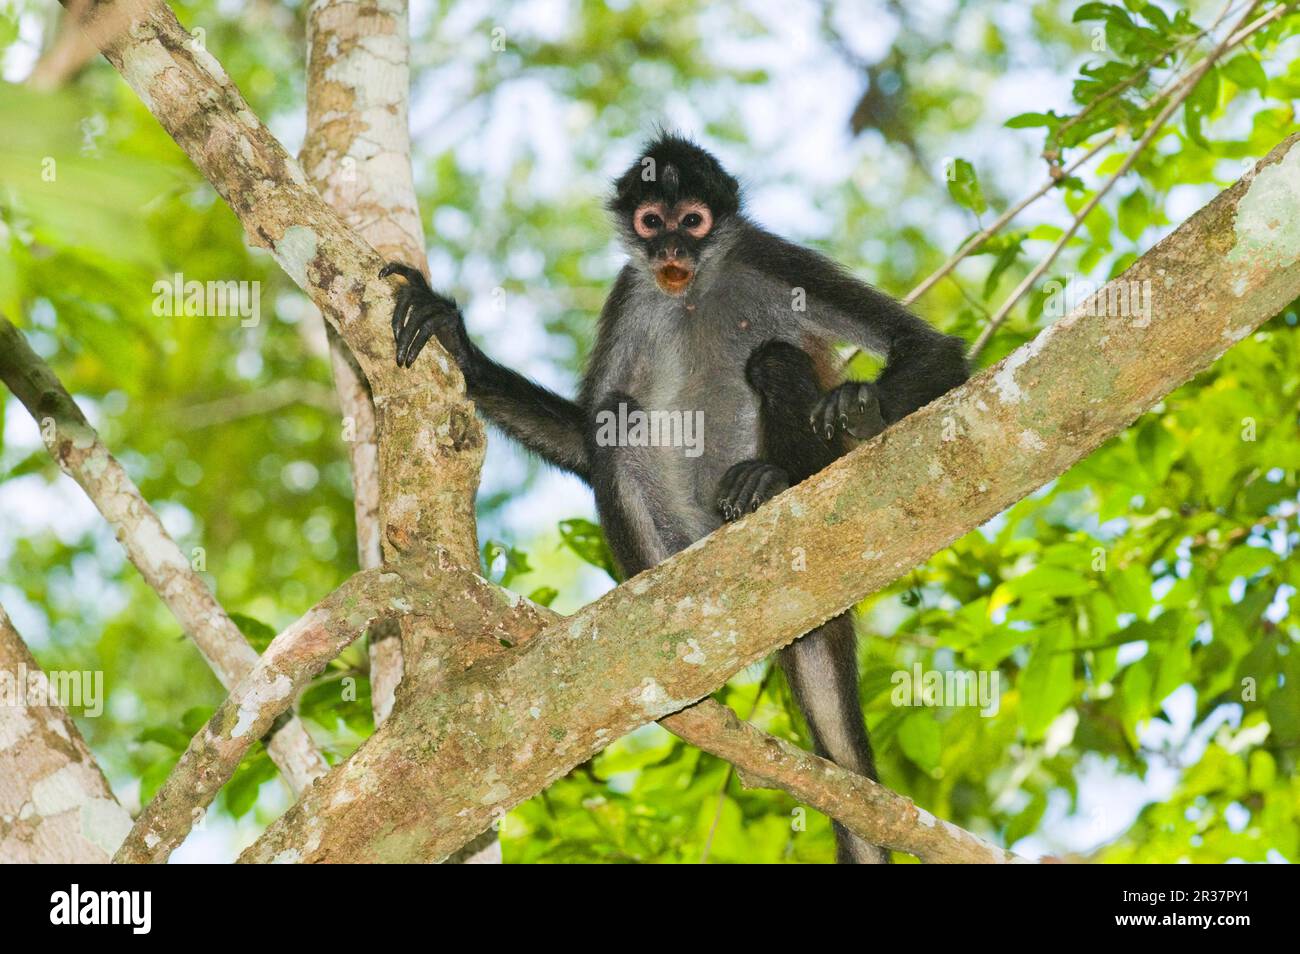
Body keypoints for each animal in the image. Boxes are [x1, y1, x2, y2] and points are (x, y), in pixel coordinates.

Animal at [382, 133, 968, 863]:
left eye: (692, 220)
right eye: (650, 222)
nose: (671, 252)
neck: (695, 290)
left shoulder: (767, 253)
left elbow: (934, 350)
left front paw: (858, 410)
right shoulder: (632, 290)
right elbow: (589, 436)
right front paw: (459, 344)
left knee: (774, 360)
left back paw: (783, 480)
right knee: (618, 419)